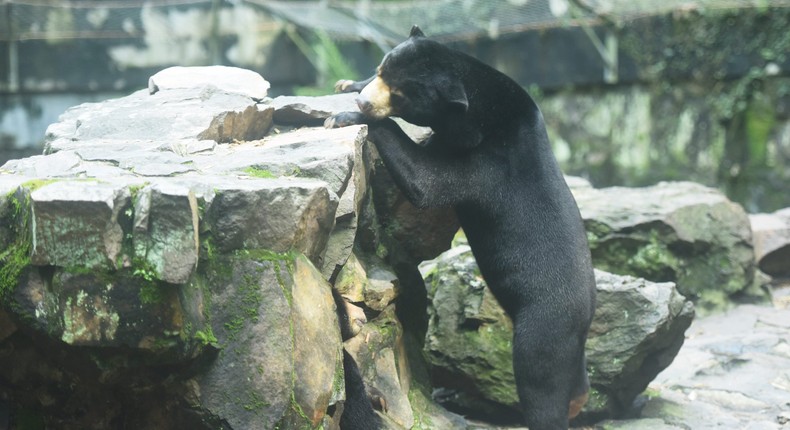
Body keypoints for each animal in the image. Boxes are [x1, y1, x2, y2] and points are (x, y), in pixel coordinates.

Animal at [325, 26, 597, 430]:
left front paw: (343, 117)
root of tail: (586, 320)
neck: (478, 108)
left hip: (545, 324)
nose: (365, 103)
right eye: (380, 70)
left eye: (401, 93)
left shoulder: (486, 162)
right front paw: (346, 84)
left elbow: (427, 181)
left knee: (540, 380)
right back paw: (578, 401)